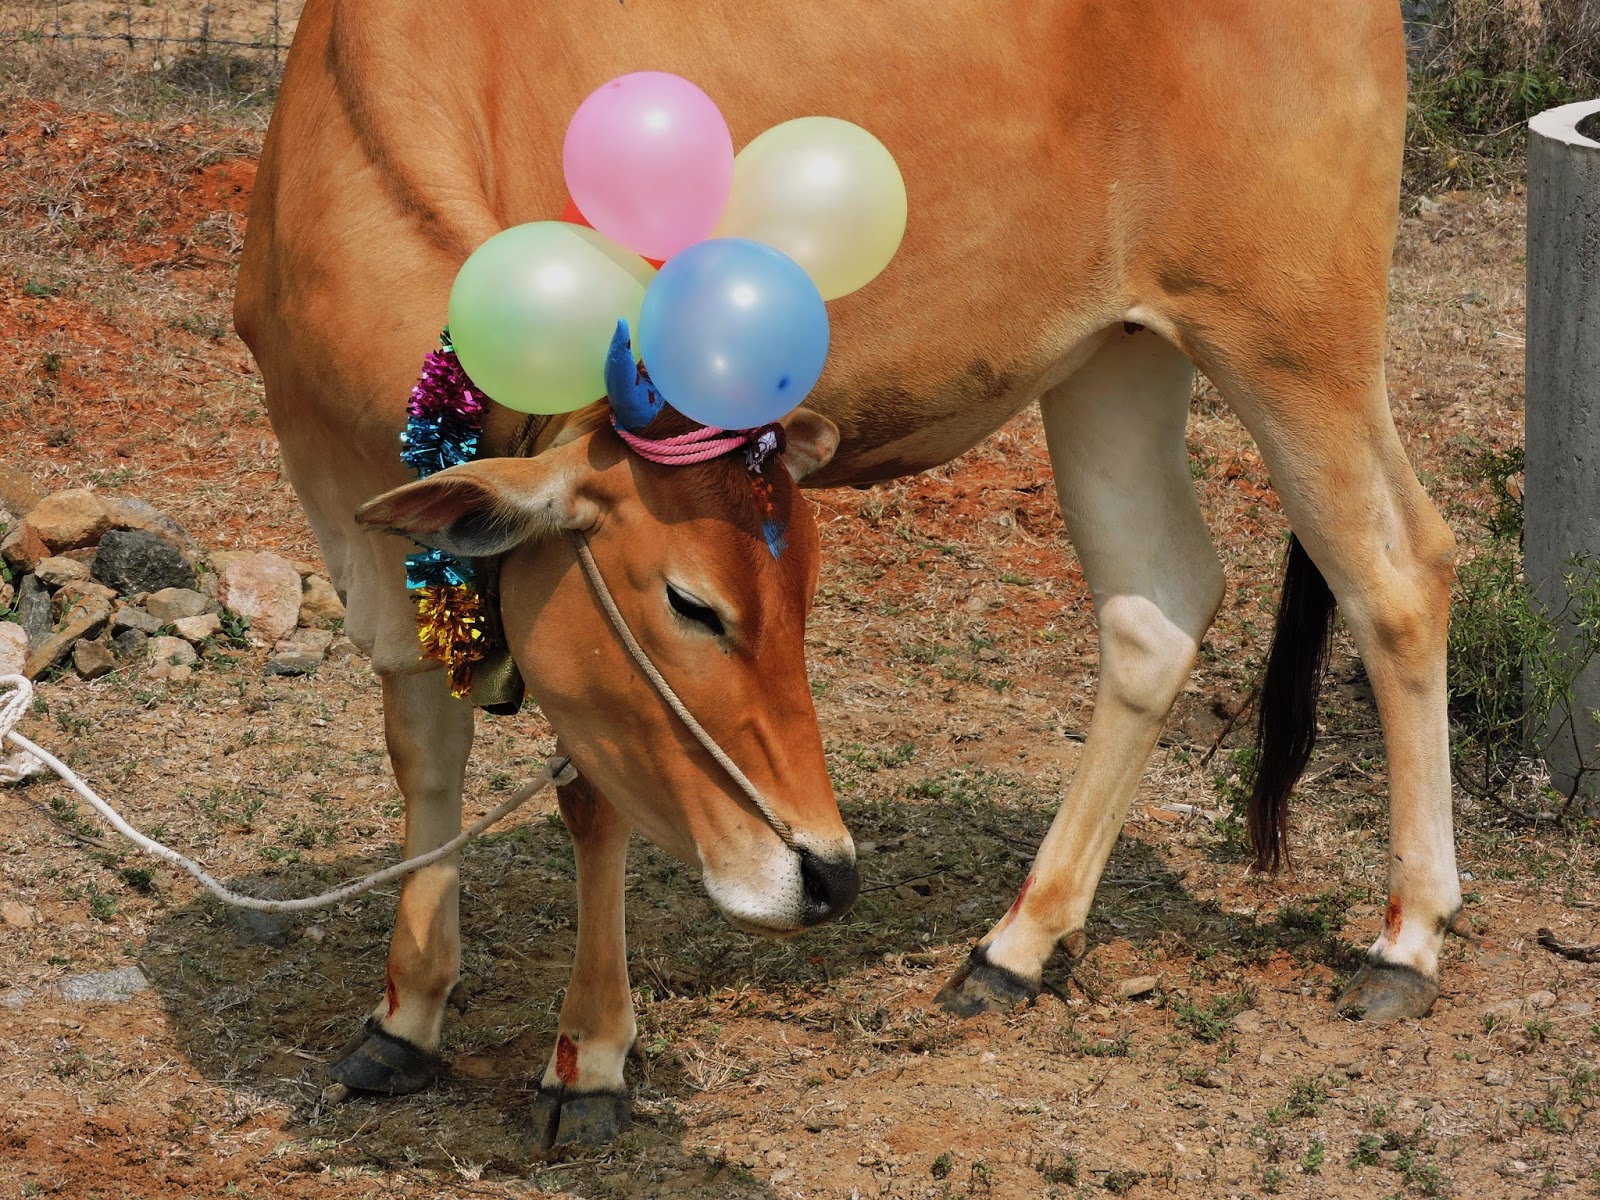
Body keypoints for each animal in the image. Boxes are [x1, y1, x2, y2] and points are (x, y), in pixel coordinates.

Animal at [236, 0, 1459, 1149]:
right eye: (691, 601)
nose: (826, 876)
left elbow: (590, 797)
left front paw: (588, 1059)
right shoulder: (355, 519)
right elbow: (423, 752)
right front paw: (405, 1018)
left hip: (1291, 331)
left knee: (1400, 570)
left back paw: (1404, 942)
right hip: (1116, 352)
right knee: (1155, 606)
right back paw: (1016, 945)